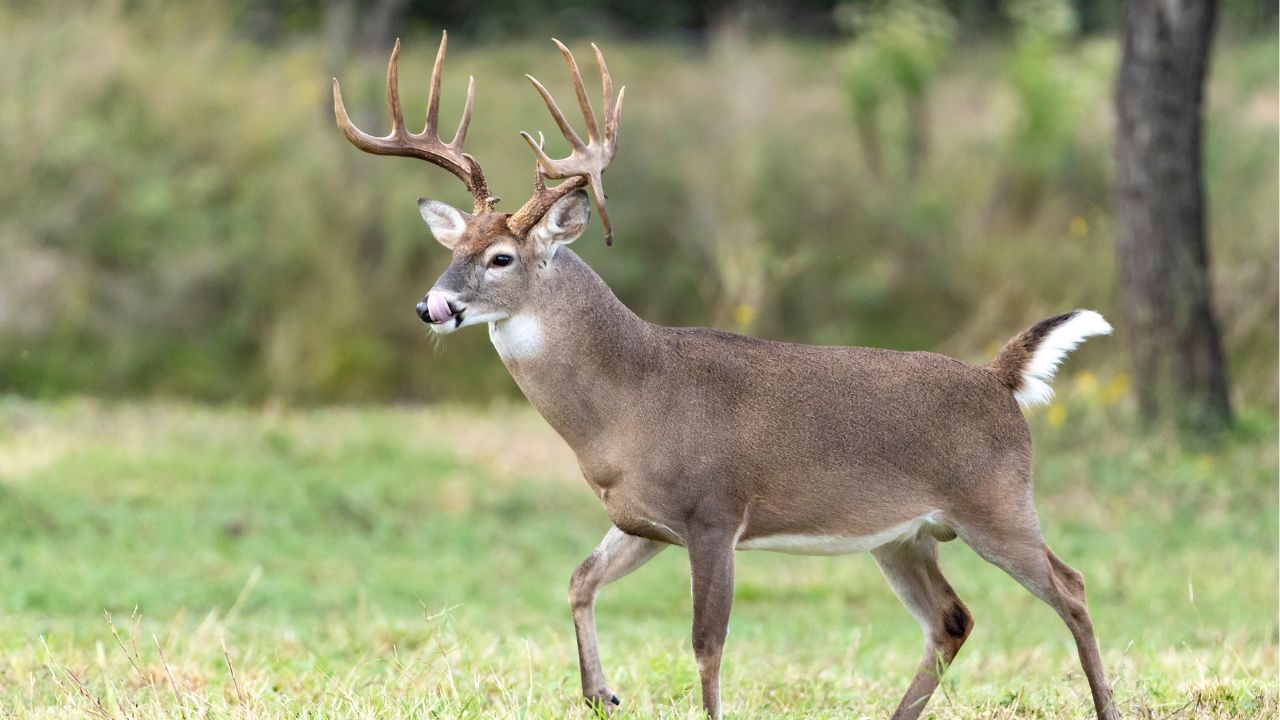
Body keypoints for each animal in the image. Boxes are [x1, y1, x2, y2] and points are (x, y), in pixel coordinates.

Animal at [332, 32, 1121, 720]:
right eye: (453, 248)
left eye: (500, 258)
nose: (431, 306)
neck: (629, 399)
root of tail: (1000, 380)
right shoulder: (645, 520)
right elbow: (579, 578)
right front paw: (600, 693)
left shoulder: (714, 511)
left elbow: (706, 644)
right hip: (906, 535)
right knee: (952, 618)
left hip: (996, 502)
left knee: (1072, 587)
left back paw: (1106, 705)